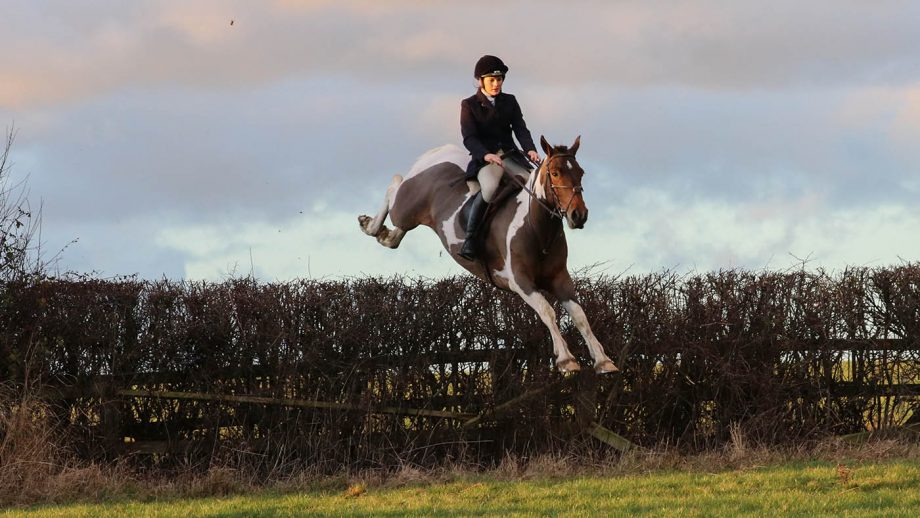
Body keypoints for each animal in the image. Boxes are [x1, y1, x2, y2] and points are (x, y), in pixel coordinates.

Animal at [358, 136, 618, 374]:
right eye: (555, 173)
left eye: (581, 173)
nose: (578, 216)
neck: (537, 227)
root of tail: (438, 155)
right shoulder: (520, 281)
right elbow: (547, 310)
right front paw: (566, 360)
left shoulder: (560, 278)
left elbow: (579, 315)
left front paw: (603, 360)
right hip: (406, 207)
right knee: (394, 187)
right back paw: (368, 224)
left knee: (395, 235)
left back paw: (384, 234)